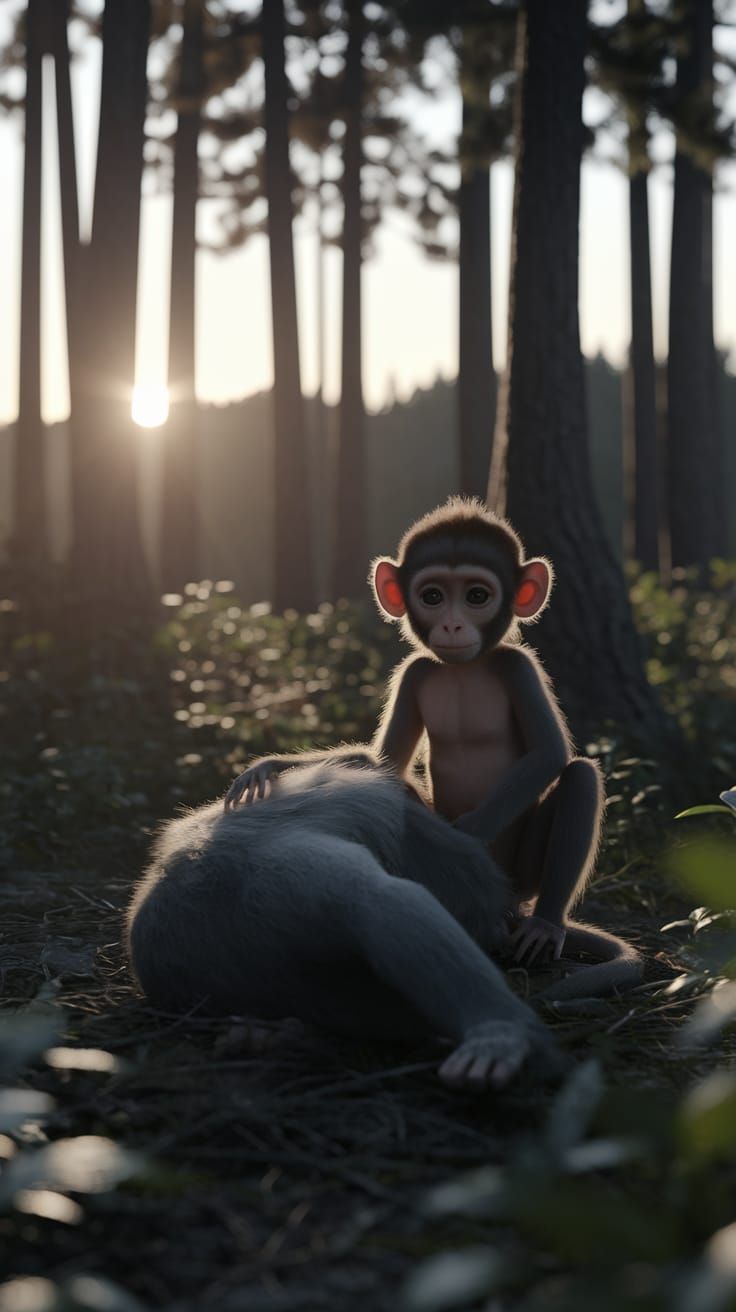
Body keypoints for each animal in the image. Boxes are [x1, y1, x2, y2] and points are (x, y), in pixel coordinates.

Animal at [225, 499, 643, 1000]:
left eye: (477, 596)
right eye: (432, 596)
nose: (452, 623)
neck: (464, 668)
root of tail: (513, 906)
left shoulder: (517, 665)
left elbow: (549, 753)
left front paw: (466, 835)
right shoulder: (415, 670)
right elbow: (383, 759)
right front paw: (268, 765)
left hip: (520, 879)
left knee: (580, 775)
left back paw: (544, 923)